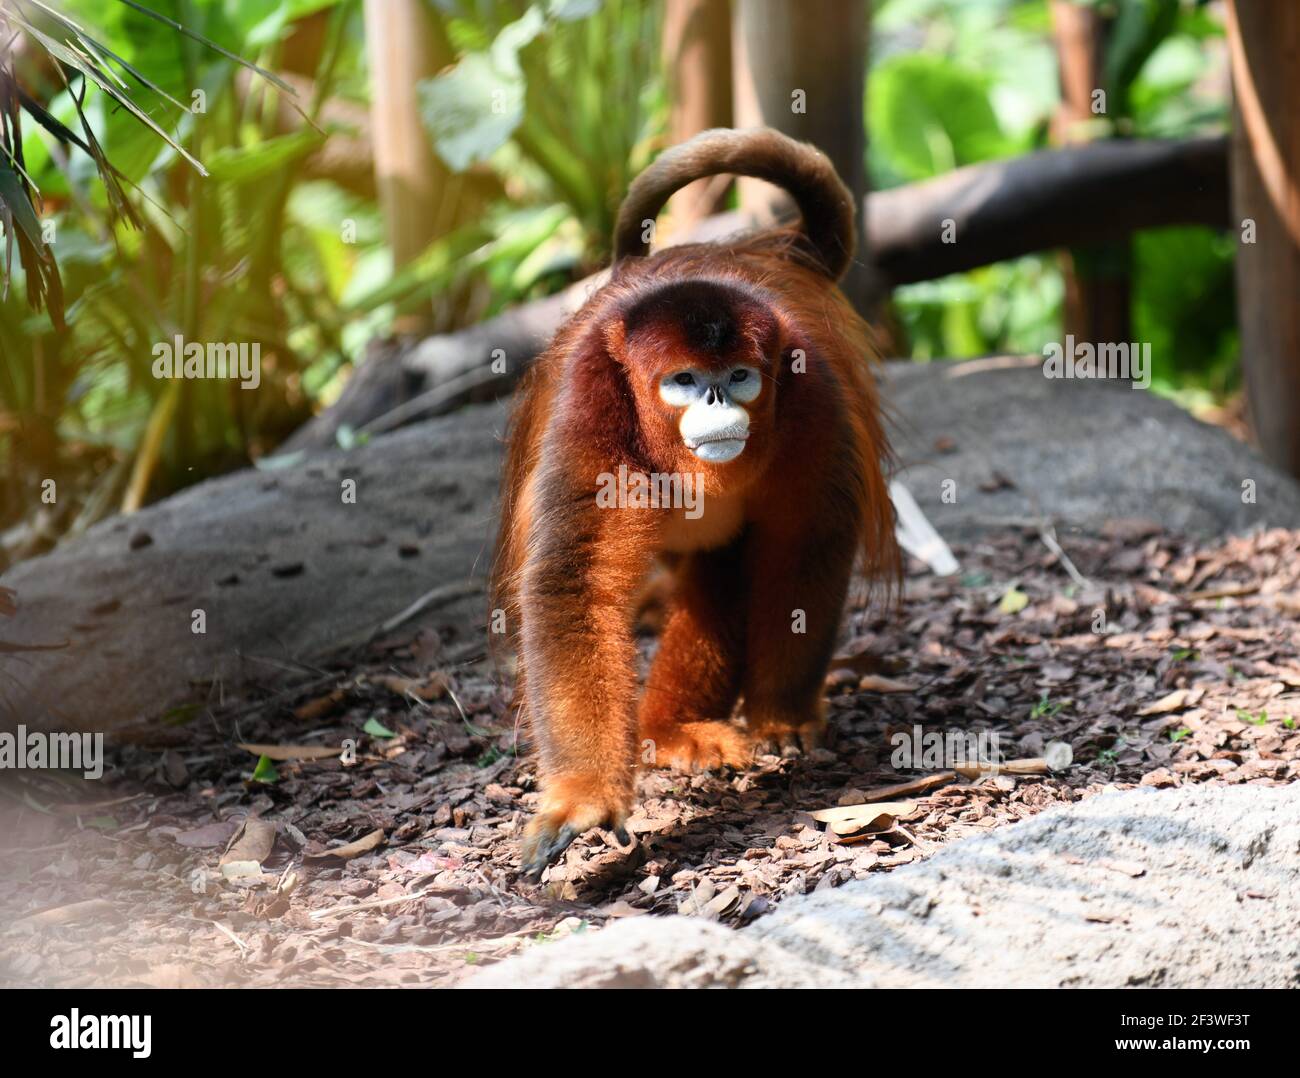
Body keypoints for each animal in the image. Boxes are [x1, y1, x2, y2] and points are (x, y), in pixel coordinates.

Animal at [491, 128, 898, 876]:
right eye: (682, 381)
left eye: (738, 377)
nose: (714, 402)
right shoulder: (590, 401)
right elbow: (574, 580)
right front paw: (583, 795)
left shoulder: (811, 395)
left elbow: (806, 544)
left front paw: (780, 716)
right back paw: (666, 734)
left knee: (726, 577)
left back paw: (674, 728)